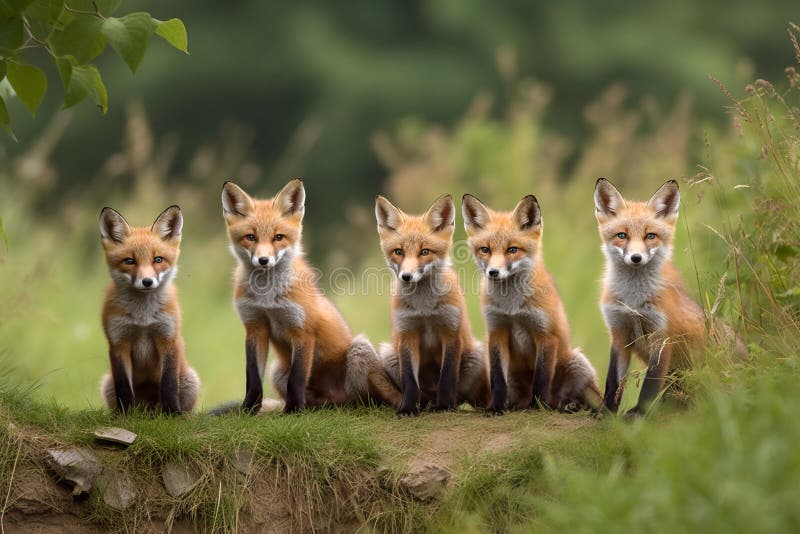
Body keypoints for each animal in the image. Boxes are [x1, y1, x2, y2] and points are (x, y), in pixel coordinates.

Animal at [99, 205, 200, 414]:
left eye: (158, 259)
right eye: (129, 261)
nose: (147, 282)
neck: (143, 319)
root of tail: (149, 411)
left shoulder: (168, 338)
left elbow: (168, 385)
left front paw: (172, 413)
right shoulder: (118, 343)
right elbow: (124, 387)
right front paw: (125, 415)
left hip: (190, 380)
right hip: (107, 384)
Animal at [222, 179, 402, 414]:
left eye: (278, 237)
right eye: (250, 237)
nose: (263, 260)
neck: (267, 297)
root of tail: (334, 400)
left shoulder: (302, 330)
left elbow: (297, 378)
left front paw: (292, 411)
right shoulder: (255, 327)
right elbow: (252, 379)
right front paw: (248, 410)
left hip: (359, 350)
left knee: (365, 401)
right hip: (277, 369)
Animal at [375, 194, 490, 416]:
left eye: (425, 251)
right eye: (398, 252)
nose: (406, 276)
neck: (425, 308)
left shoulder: (451, 332)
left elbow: (447, 376)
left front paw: (444, 406)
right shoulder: (407, 333)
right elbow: (410, 380)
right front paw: (408, 408)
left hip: (476, 356)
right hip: (388, 355)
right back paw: (424, 404)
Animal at [462, 194, 603, 414]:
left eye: (512, 250)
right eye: (485, 250)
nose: (493, 272)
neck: (512, 306)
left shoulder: (545, 334)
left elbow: (541, 378)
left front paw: (537, 407)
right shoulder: (496, 331)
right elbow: (497, 379)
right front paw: (496, 408)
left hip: (578, 362)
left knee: (586, 399)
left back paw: (565, 405)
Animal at [594, 178, 743, 415]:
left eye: (650, 236)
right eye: (622, 235)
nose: (636, 258)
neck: (634, 302)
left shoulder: (662, 337)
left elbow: (649, 386)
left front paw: (639, 415)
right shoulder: (619, 334)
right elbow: (613, 383)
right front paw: (606, 414)